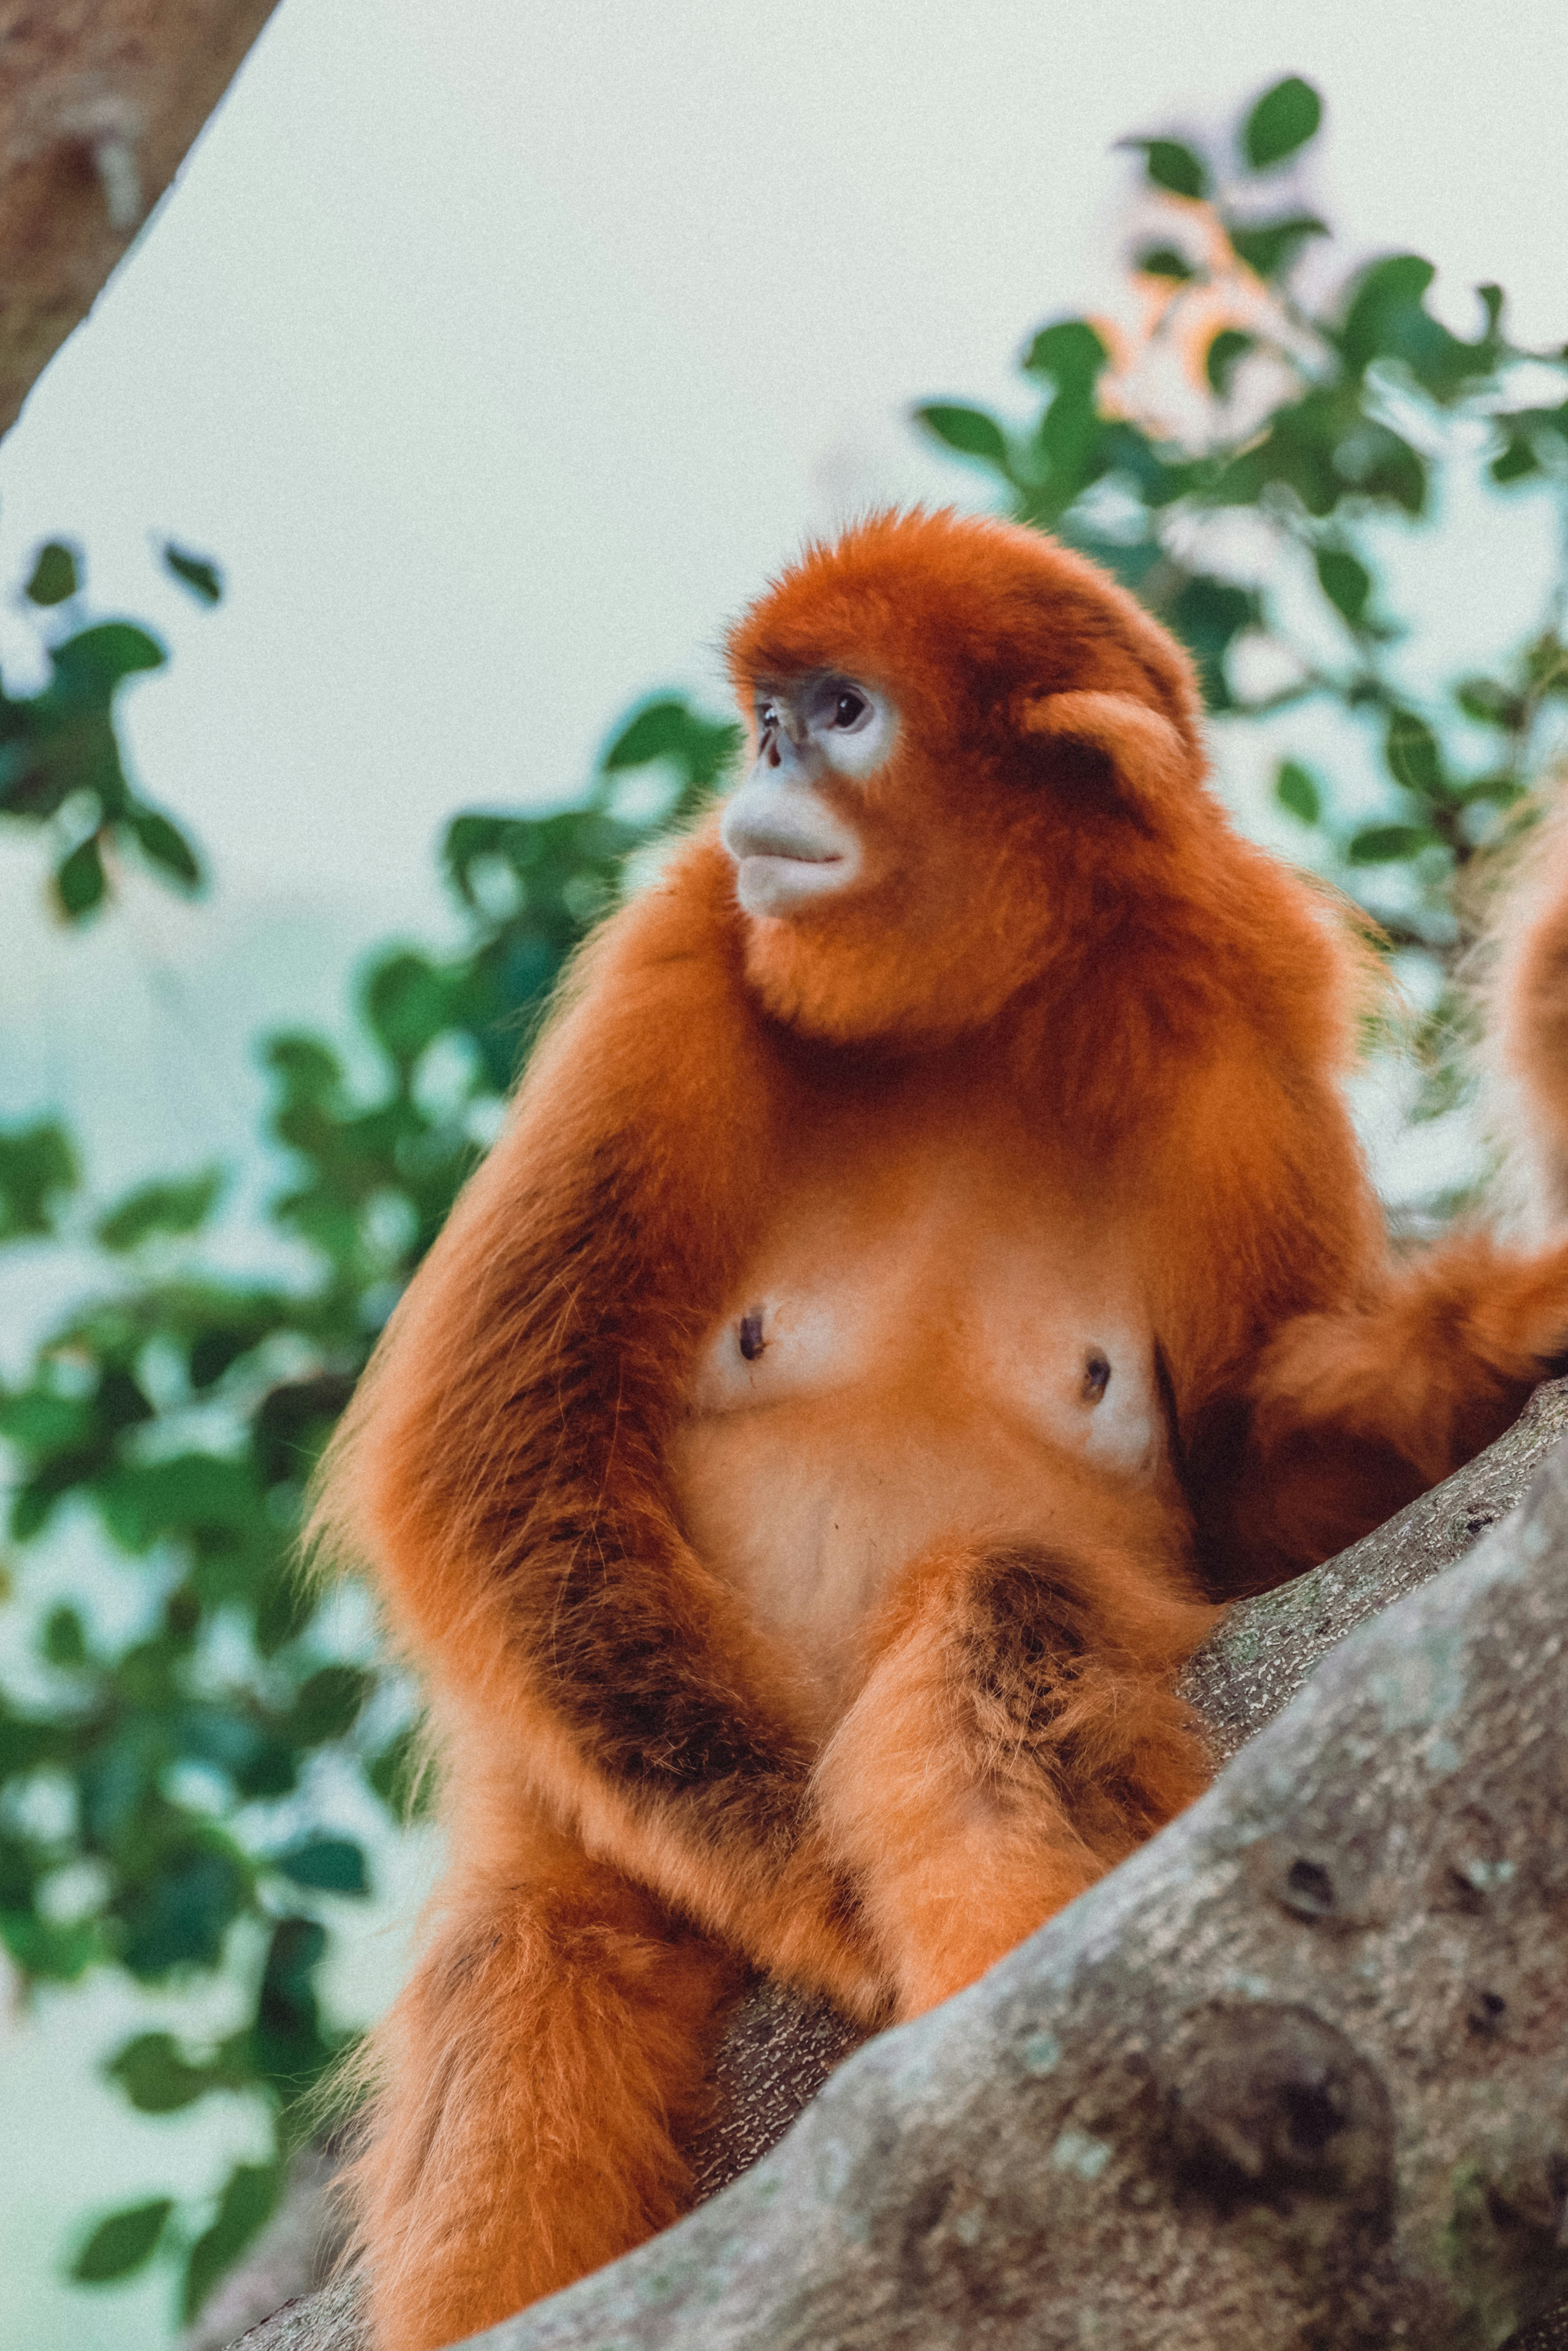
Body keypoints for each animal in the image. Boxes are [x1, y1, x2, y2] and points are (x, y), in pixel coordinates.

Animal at [317, 509, 1568, 2351]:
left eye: (841, 713)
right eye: (768, 718)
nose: (763, 766)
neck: (982, 1013)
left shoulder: (1241, 1039)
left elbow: (1254, 1480)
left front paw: (1507, 1330)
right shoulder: (683, 948)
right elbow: (494, 1449)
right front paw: (827, 1902)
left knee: (1001, 1598)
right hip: (605, 1806)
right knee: (537, 1951)